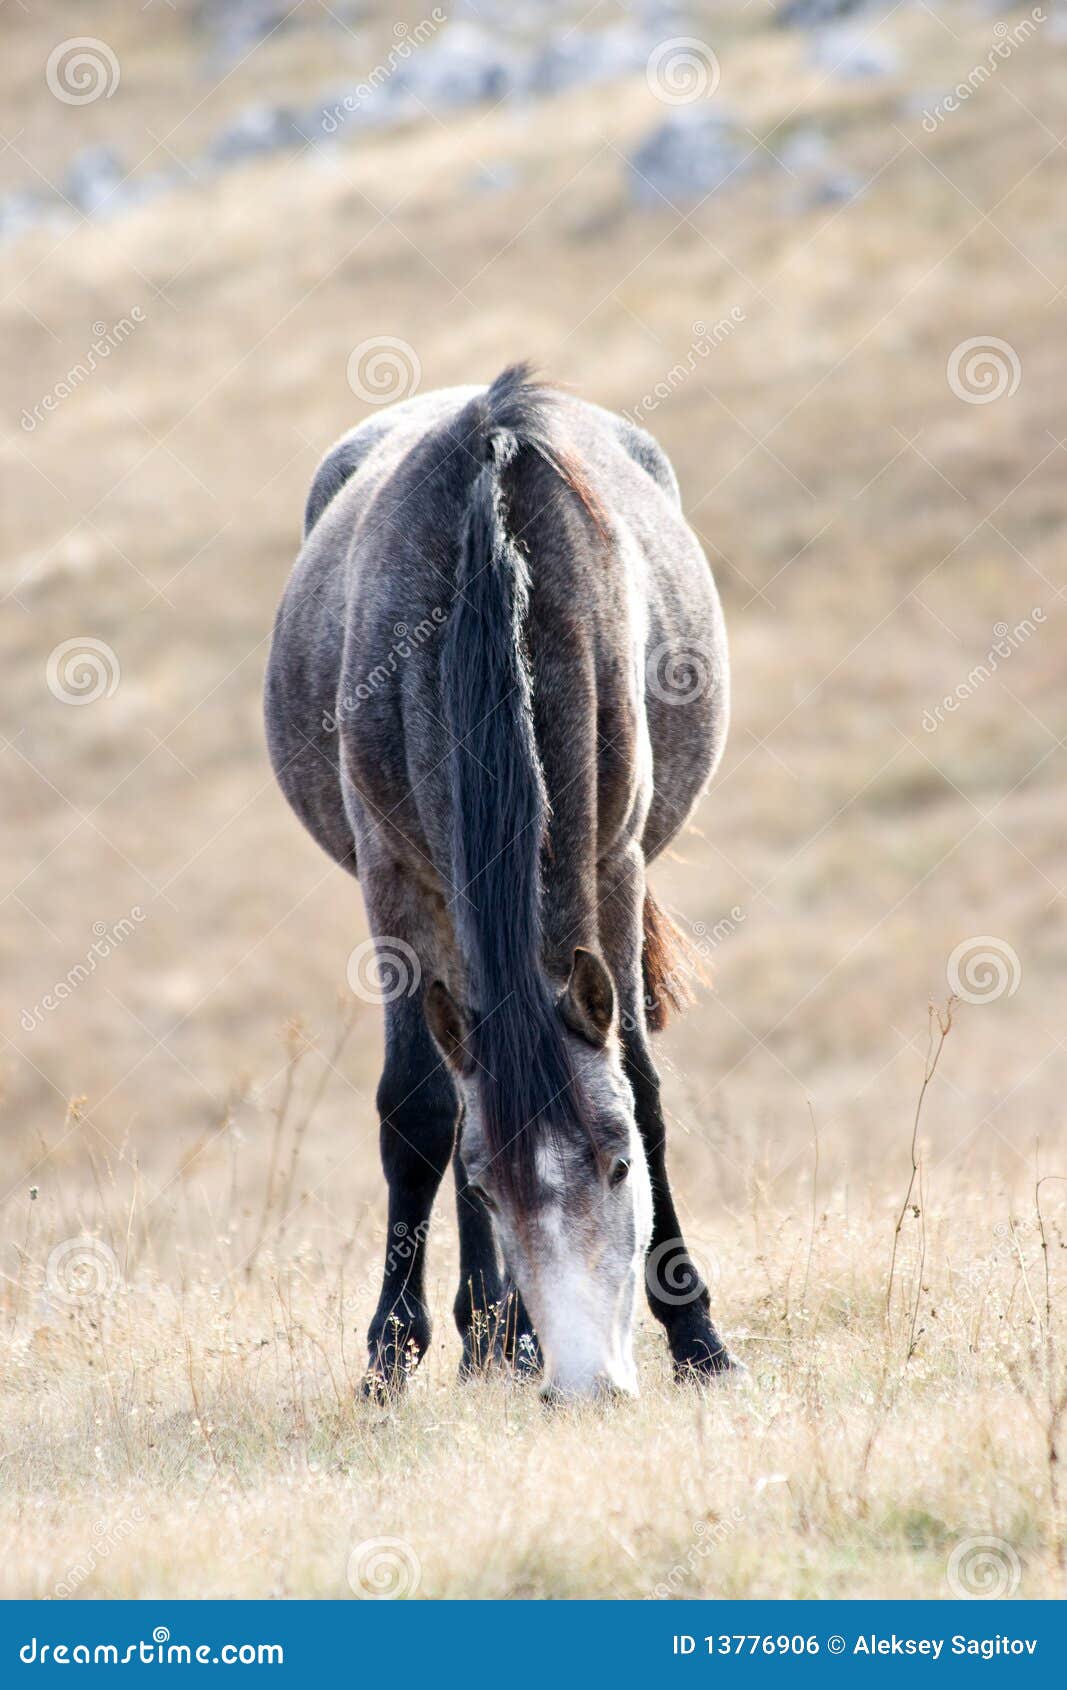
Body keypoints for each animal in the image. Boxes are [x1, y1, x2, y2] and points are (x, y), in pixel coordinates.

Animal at [264, 364, 735, 1401]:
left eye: (617, 1165)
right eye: (486, 1181)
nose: (585, 1385)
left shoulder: (613, 861)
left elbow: (642, 1083)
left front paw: (698, 1340)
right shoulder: (395, 879)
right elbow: (419, 1110)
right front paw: (390, 1355)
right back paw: (493, 1335)